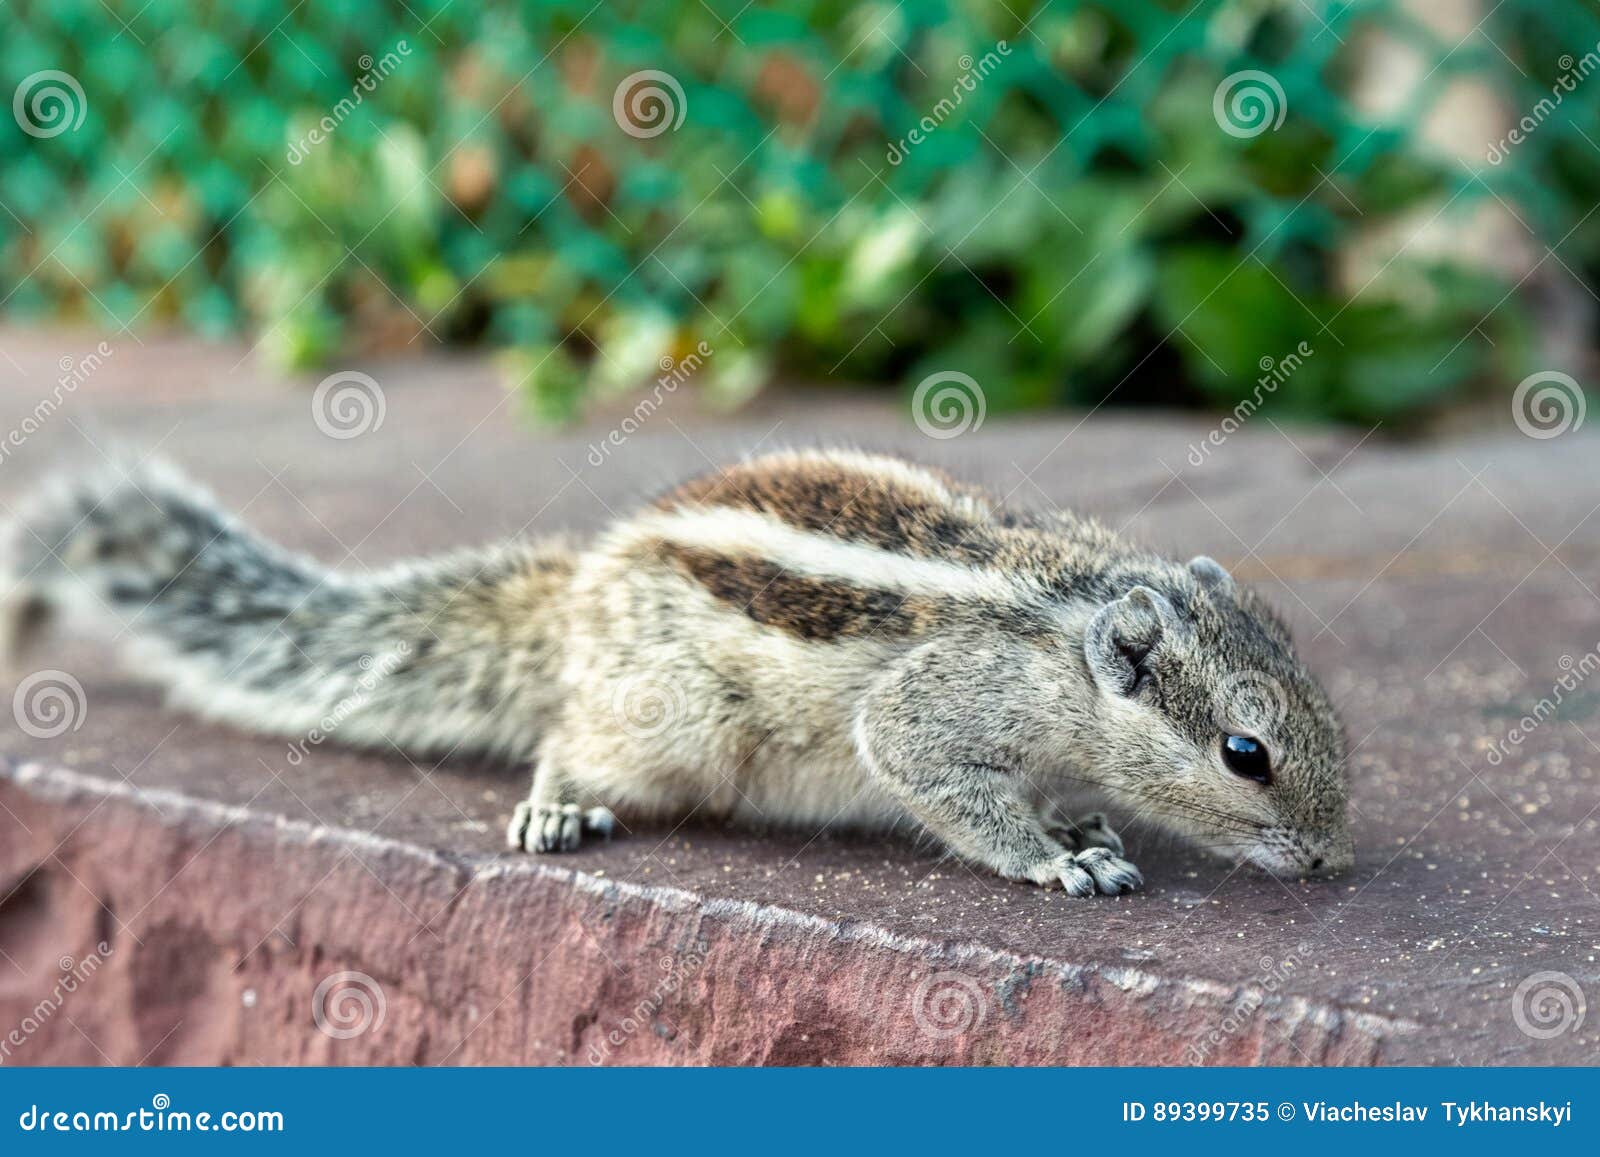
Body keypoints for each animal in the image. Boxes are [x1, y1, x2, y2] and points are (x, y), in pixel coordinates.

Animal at [2, 448, 1353, 896]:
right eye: (1245, 752)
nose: (1328, 857)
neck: (1067, 624)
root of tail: (577, 598)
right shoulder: (939, 703)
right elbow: (926, 768)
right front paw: (1055, 857)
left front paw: (1081, 820)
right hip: (671, 724)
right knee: (568, 738)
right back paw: (554, 804)